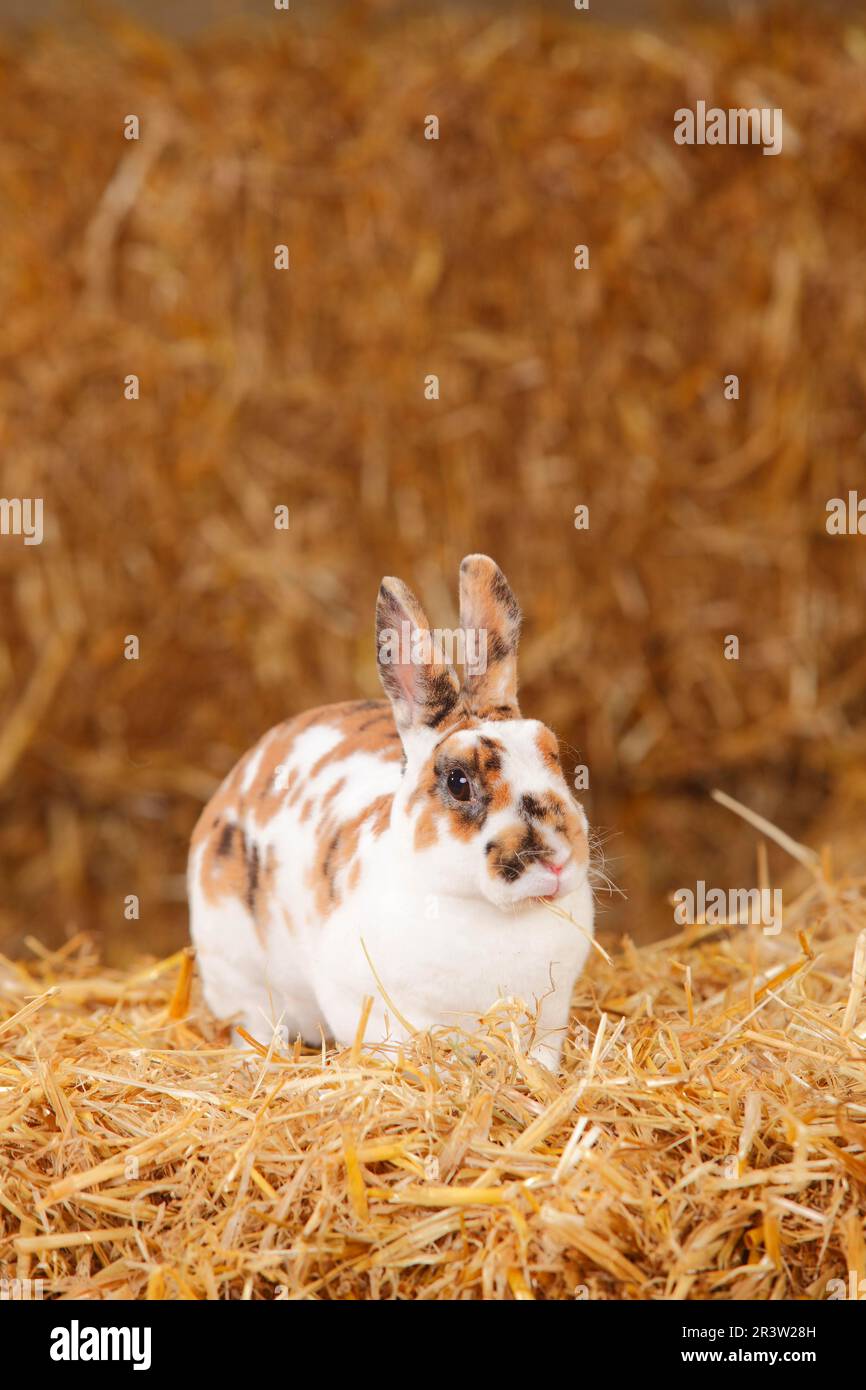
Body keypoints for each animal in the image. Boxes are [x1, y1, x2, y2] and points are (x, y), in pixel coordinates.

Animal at [188, 554, 594, 1067]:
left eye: (552, 753)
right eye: (458, 781)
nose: (558, 859)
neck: (488, 911)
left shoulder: (549, 1019)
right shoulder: (370, 1004)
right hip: (236, 974)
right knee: (253, 1023)